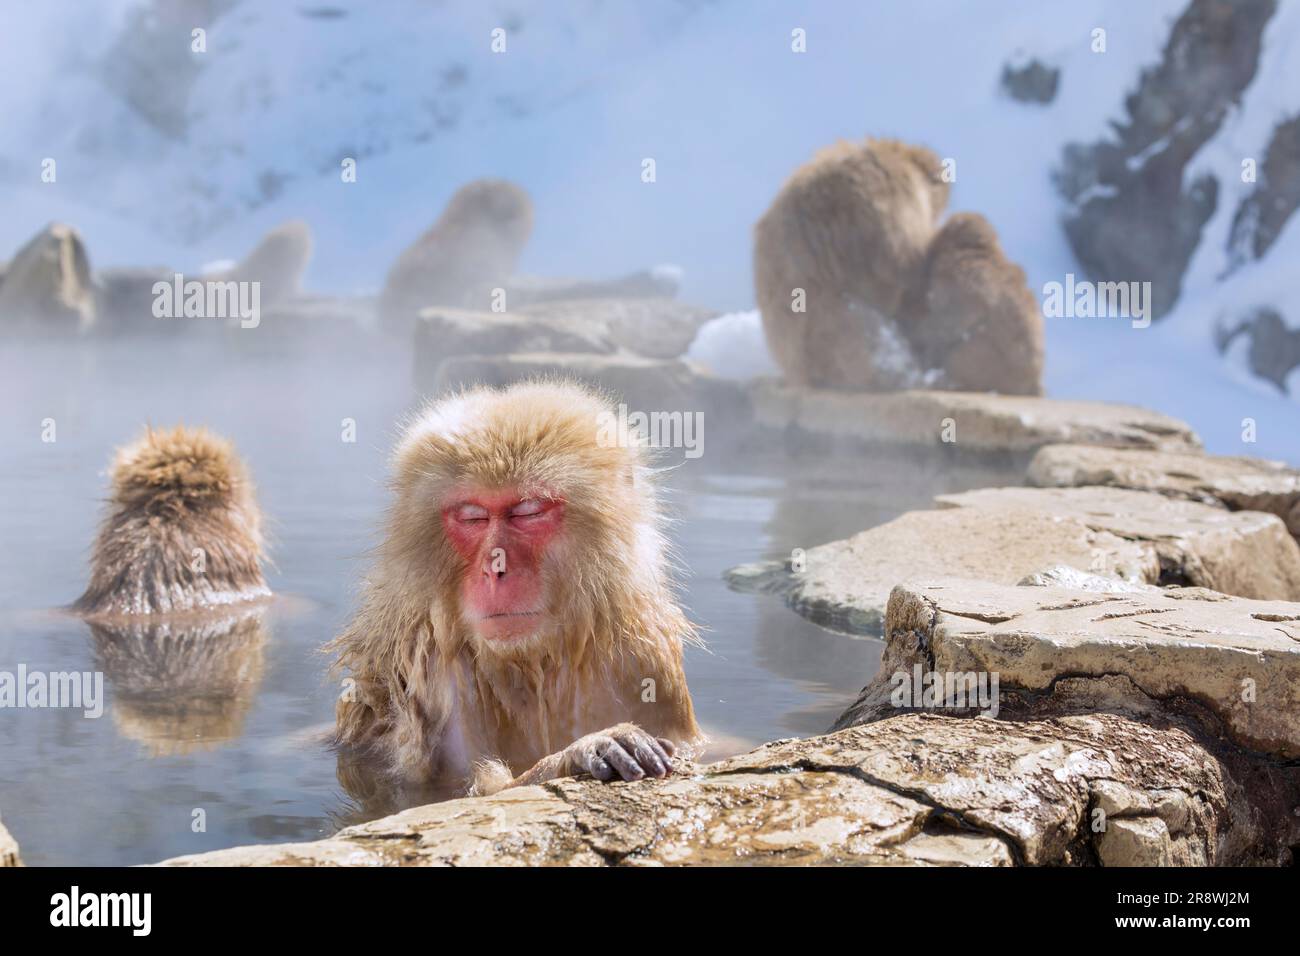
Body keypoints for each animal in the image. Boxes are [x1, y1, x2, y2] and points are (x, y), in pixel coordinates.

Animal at [327, 380, 701, 797]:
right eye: (472, 516)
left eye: (528, 511)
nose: (496, 567)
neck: (527, 663)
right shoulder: (430, 671)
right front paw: (585, 750)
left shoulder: (642, 653)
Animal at [903, 212, 1044, 396]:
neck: (980, 251)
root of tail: (1031, 380)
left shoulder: (960, 280)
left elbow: (946, 324)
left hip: (985, 364)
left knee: (959, 352)